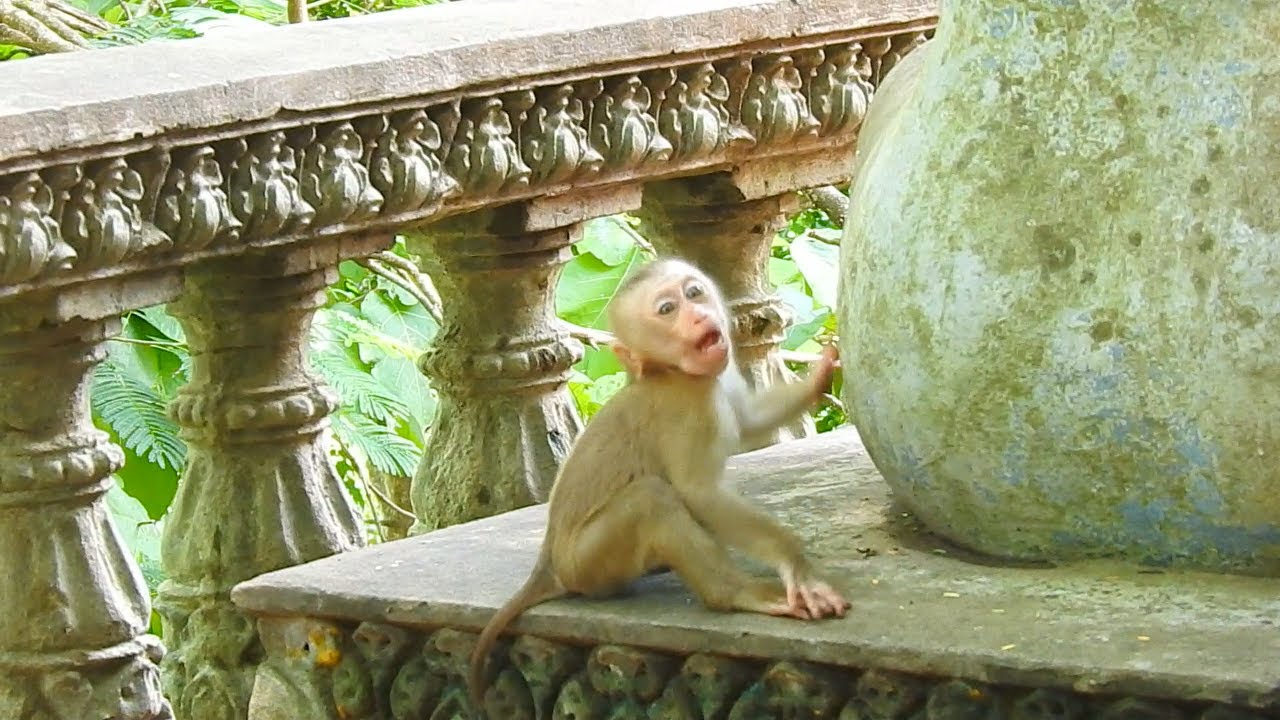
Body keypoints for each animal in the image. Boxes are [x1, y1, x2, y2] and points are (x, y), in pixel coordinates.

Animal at [467, 257, 850, 713]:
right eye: (667, 310)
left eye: (694, 292)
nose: (698, 315)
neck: (673, 373)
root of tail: (548, 563)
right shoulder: (689, 408)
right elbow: (698, 492)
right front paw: (794, 563)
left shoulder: (720, 377)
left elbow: (750, 419)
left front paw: (821, 373)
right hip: (587, 562)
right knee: (651, 499)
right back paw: (734, 593)